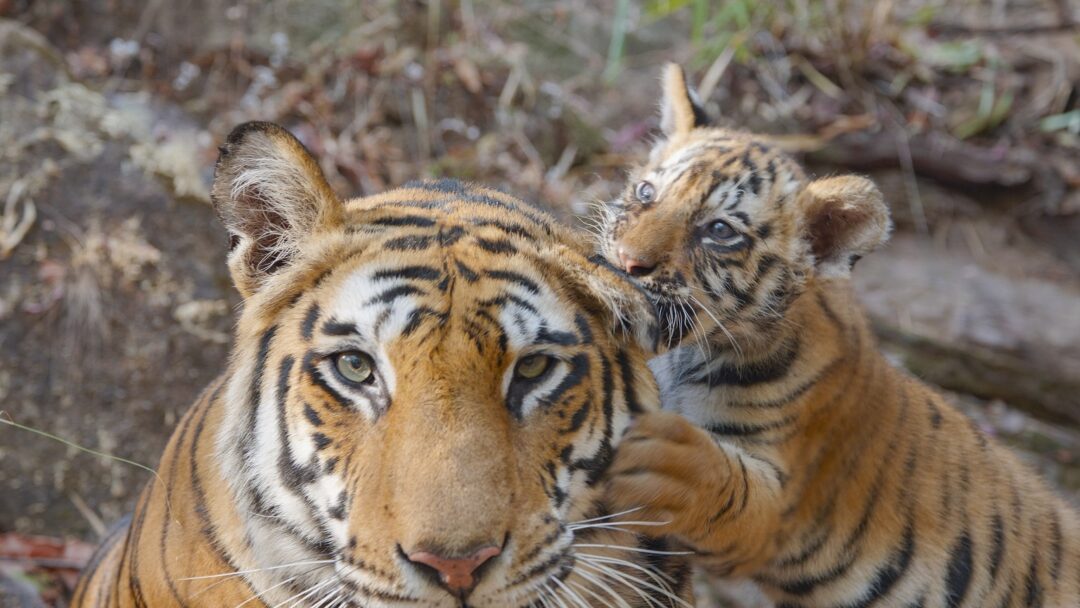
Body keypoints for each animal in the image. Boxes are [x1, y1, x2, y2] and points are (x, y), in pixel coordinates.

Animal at [595, 64, 1080, 607]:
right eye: (646, 193)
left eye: (719, 231)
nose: (628, 262)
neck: (683, 356)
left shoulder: (780, 511)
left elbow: (725, 486)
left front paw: (665, 461)